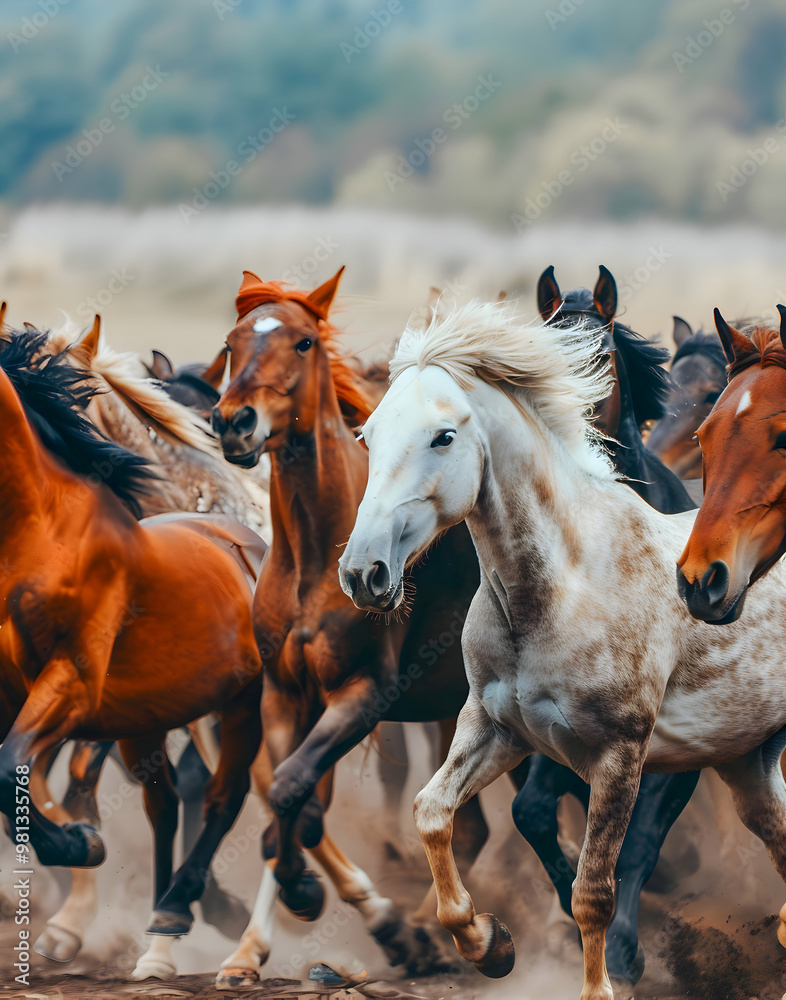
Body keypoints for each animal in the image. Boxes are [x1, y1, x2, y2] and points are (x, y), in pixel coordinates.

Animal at [0, 319, 267, 979]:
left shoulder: (73, 682)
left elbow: (20, 769)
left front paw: (79, 847)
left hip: (248, 706)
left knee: (237, 797)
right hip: (150, 714)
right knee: (167, 801)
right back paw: (163, 939)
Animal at [208, 266, 490, 988]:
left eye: (303, 341)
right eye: (231, 342)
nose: (234, 423)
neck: (315, 555)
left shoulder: (364, 693)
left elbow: (291, 790)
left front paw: (321, 901)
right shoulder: (288, 696)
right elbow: (290, 801)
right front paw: (255, 943)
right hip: (448, 709)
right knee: (472, 826)